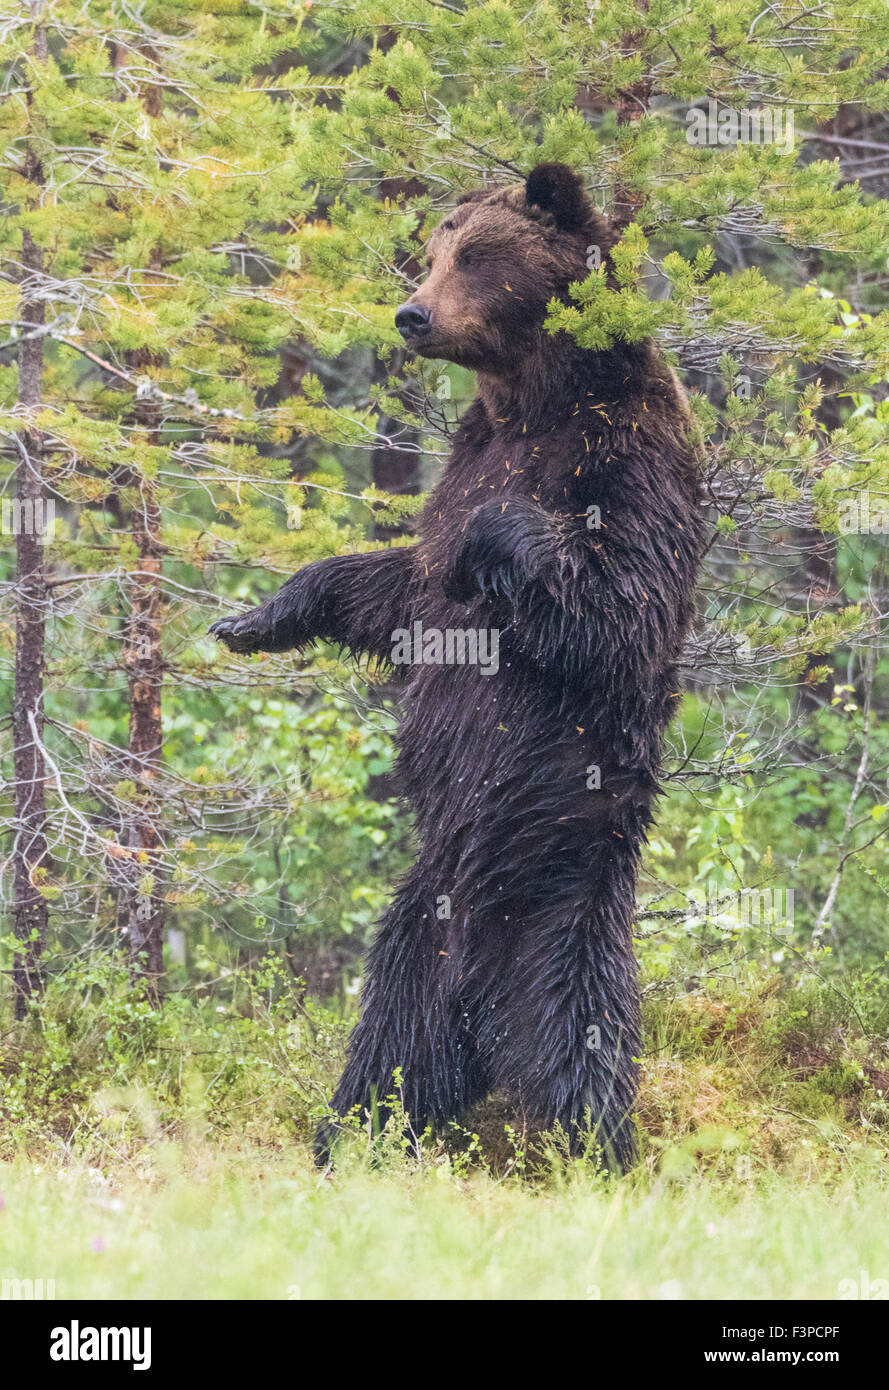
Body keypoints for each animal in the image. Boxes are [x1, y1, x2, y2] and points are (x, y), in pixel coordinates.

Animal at [211, 163, 703, 1170]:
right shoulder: (460, 468)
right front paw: (253, 615)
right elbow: (399, 587)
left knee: (581, 1037)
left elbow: (619, 602)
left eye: (476, 257)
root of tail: (479, 1001)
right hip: (416, 924)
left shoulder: (630, 460)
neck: (533, 398)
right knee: (390, 1046)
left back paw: (597, 1152)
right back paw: (350, 1138)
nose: (410, 314)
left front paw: (497, 537)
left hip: (562, 898)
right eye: (430, 256)